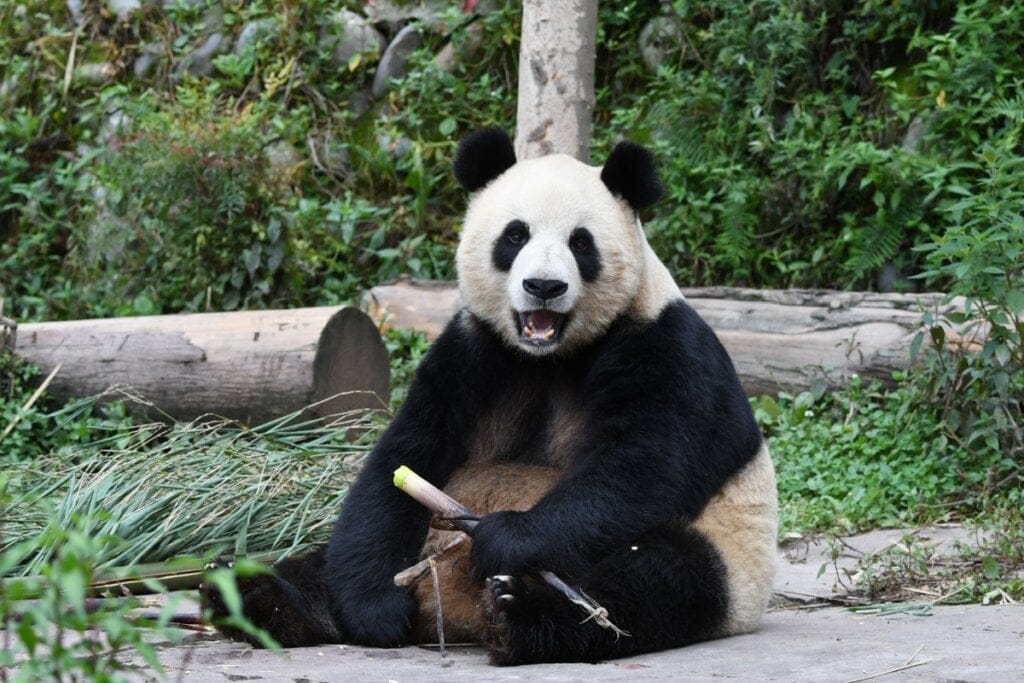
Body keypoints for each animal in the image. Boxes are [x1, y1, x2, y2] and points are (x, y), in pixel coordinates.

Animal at [203, 128, 779, 665]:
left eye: (581, 243)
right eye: (515, 235)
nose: (544, 286)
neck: (549, 355)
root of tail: (454, 616)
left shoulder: (664, 347)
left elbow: (645, 464)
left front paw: (506, 538)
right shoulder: (473, 352)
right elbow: (403, 459)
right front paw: (375, 606)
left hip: (726, 557)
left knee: (652, 580)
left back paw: (519, 614)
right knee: (325, 559)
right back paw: (251, 592)